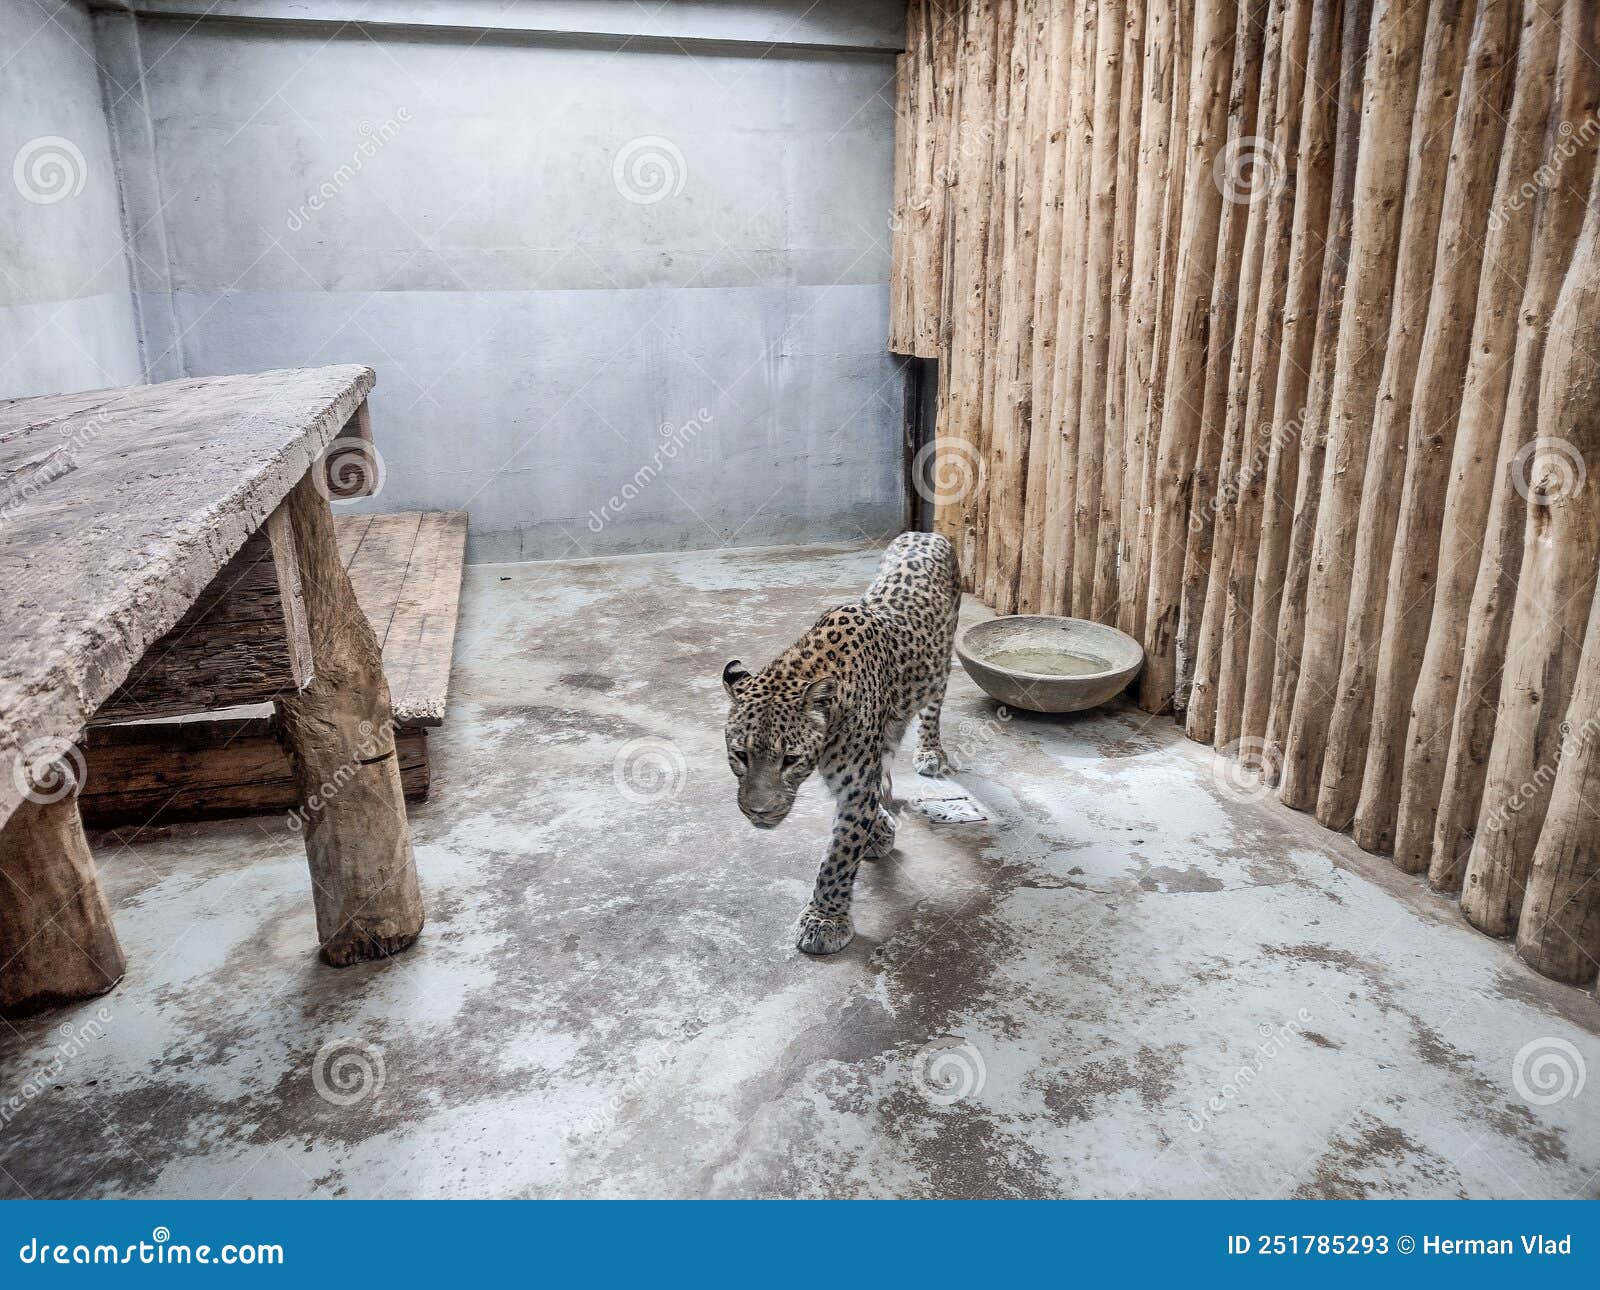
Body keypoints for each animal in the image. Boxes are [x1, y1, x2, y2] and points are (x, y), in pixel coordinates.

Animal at [721, 531, 962, 955]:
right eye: (739, 755)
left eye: (790, 759)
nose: (758, 812)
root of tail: (925, 532)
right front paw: (879, 829)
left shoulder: (854, 789)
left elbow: (838, 856)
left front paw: (824, 920)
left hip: (942, 663)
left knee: (931, 709)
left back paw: (930, 752)